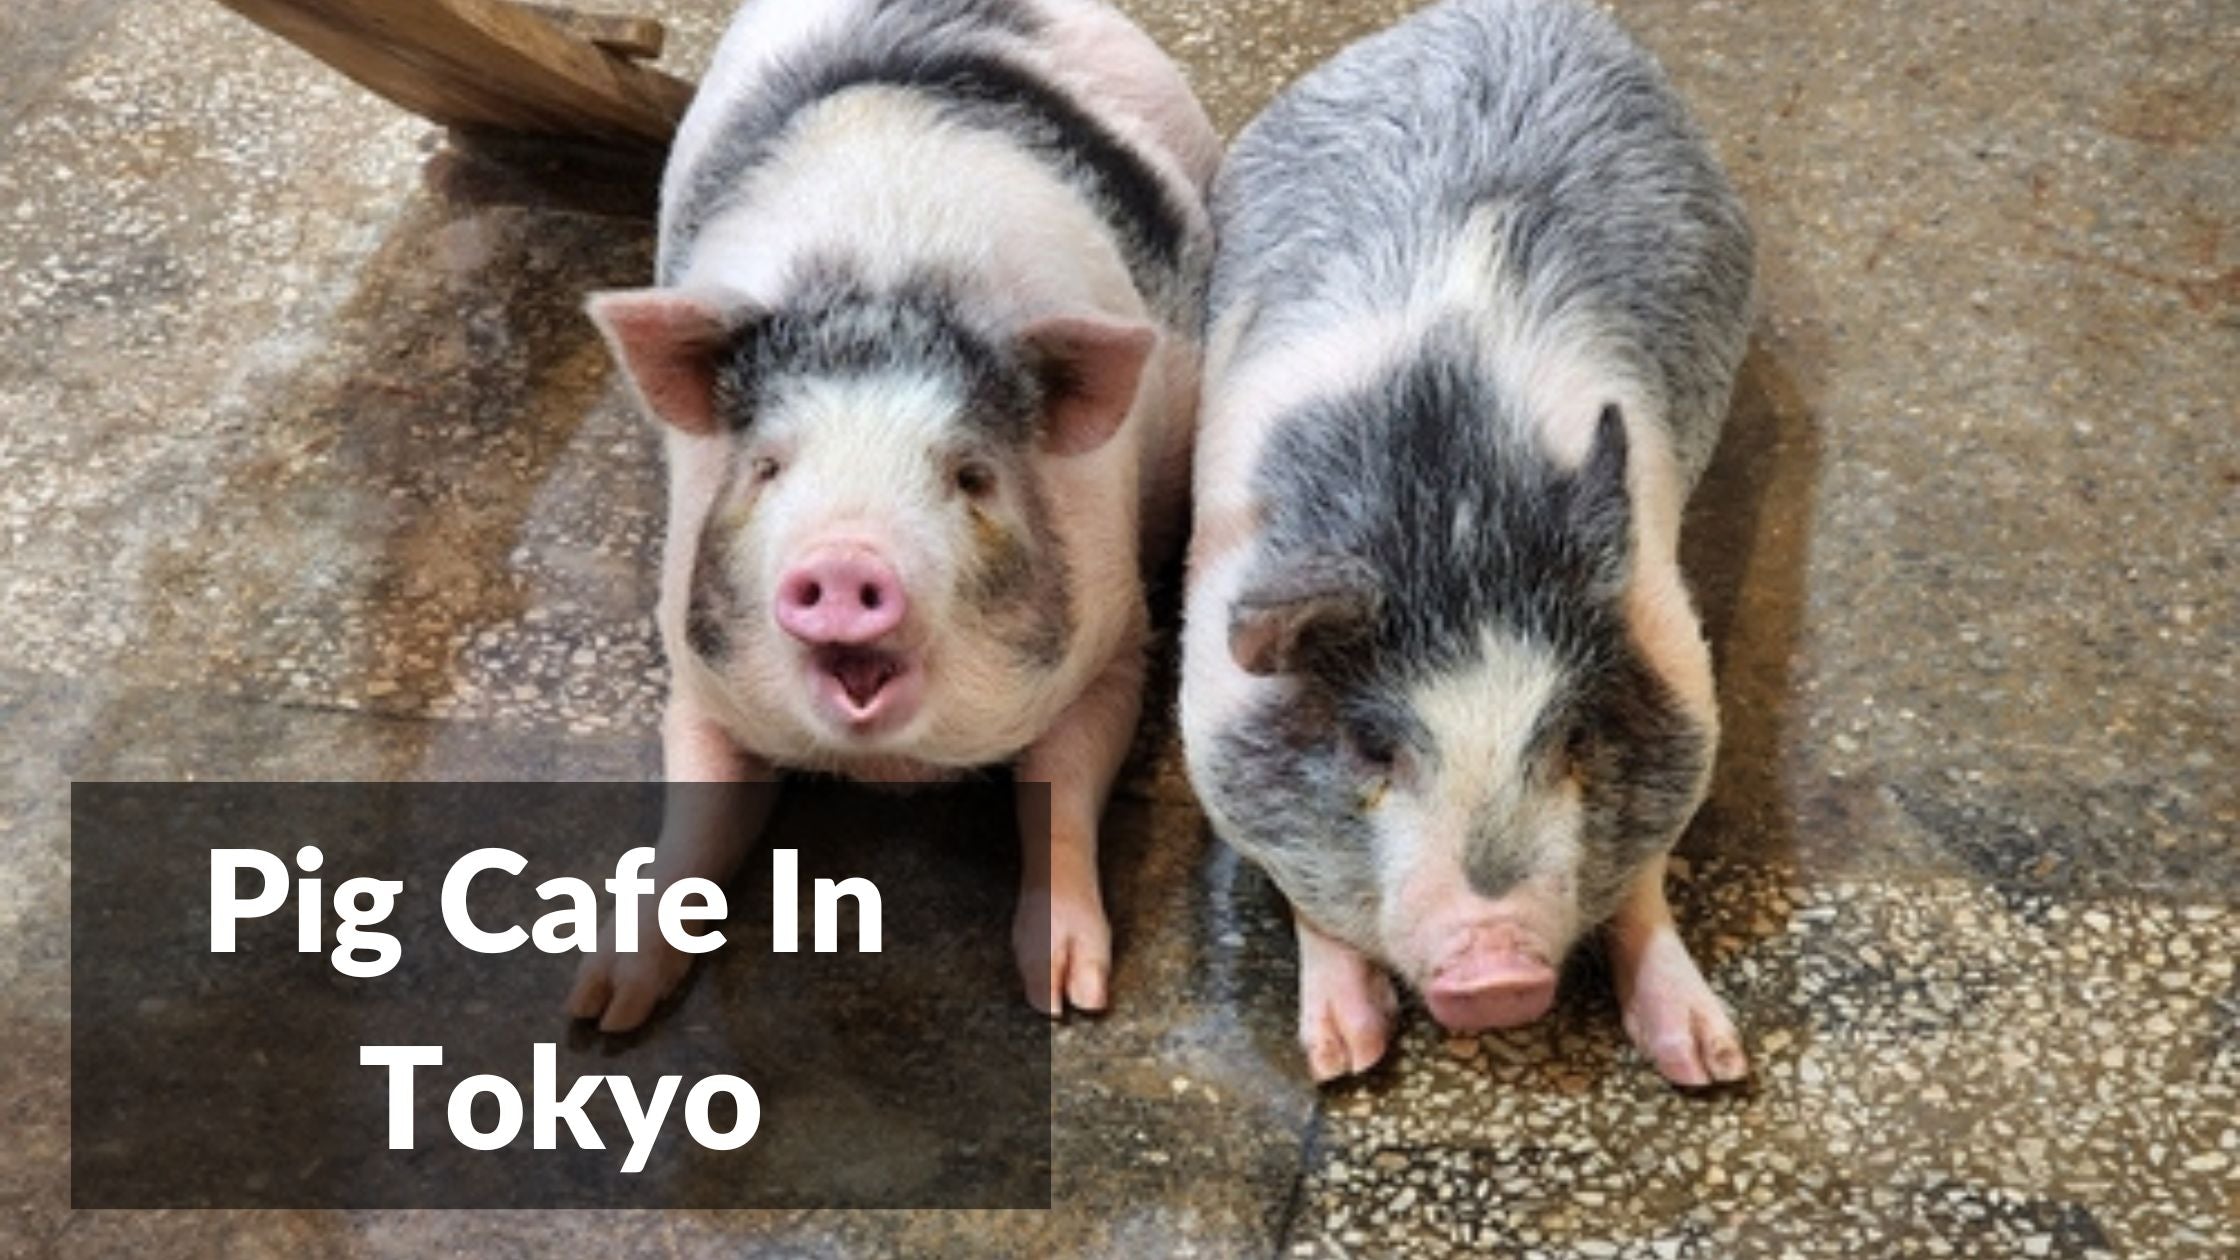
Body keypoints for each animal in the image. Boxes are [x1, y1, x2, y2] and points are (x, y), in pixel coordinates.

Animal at [568, 0, 1218, 1031]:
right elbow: (698, 810)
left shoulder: (1115, 636)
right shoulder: (695, 666)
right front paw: (599, 1013)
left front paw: (1066, 994)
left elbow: (1061, 782)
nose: (843, 560)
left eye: (971, 476)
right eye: (767, 467)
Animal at [1179, 0, 1754, 1086]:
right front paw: (1342, 1058)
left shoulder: (1678, 674)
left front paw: (1711, 1063)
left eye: (1574, 736)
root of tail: (1515, 13)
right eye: (1371, 744)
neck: (1456, 522)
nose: (1497, 978)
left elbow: (1645, 877)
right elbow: (1307, 894)